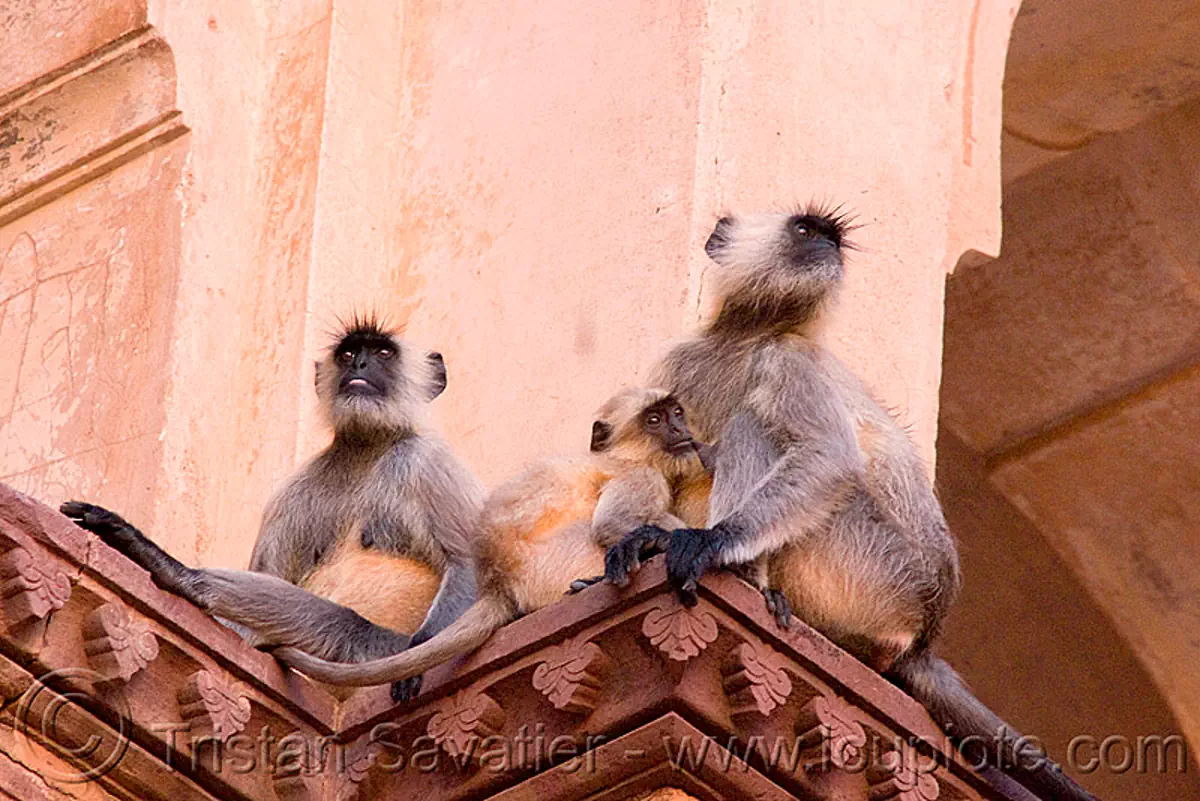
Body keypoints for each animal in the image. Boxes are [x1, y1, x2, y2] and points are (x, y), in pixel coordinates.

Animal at [61, 316, 484, 674]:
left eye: (382, 353)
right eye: (348, 354)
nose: (359, 366)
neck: (367, 448)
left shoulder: (427, 461)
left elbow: (469, 565)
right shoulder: (291, 493)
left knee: (346, 625)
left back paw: (182, 574)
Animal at [270, 387, 712, 702]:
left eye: (676, 413)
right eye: (653, 420)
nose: (679, 430)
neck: (626, 455)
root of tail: (498, 583)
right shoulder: (642, 477)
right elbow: (611, 526)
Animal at [602, 209, 1099, 801]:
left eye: (827, 236)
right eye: (805, 232)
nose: (828, 250)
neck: (748, 333)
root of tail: (922, 636)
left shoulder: (790, 360)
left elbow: (830, 458)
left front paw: (705, 542)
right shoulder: (678, 370)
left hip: (871, 573)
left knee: (756, 424)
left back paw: (743, 573)